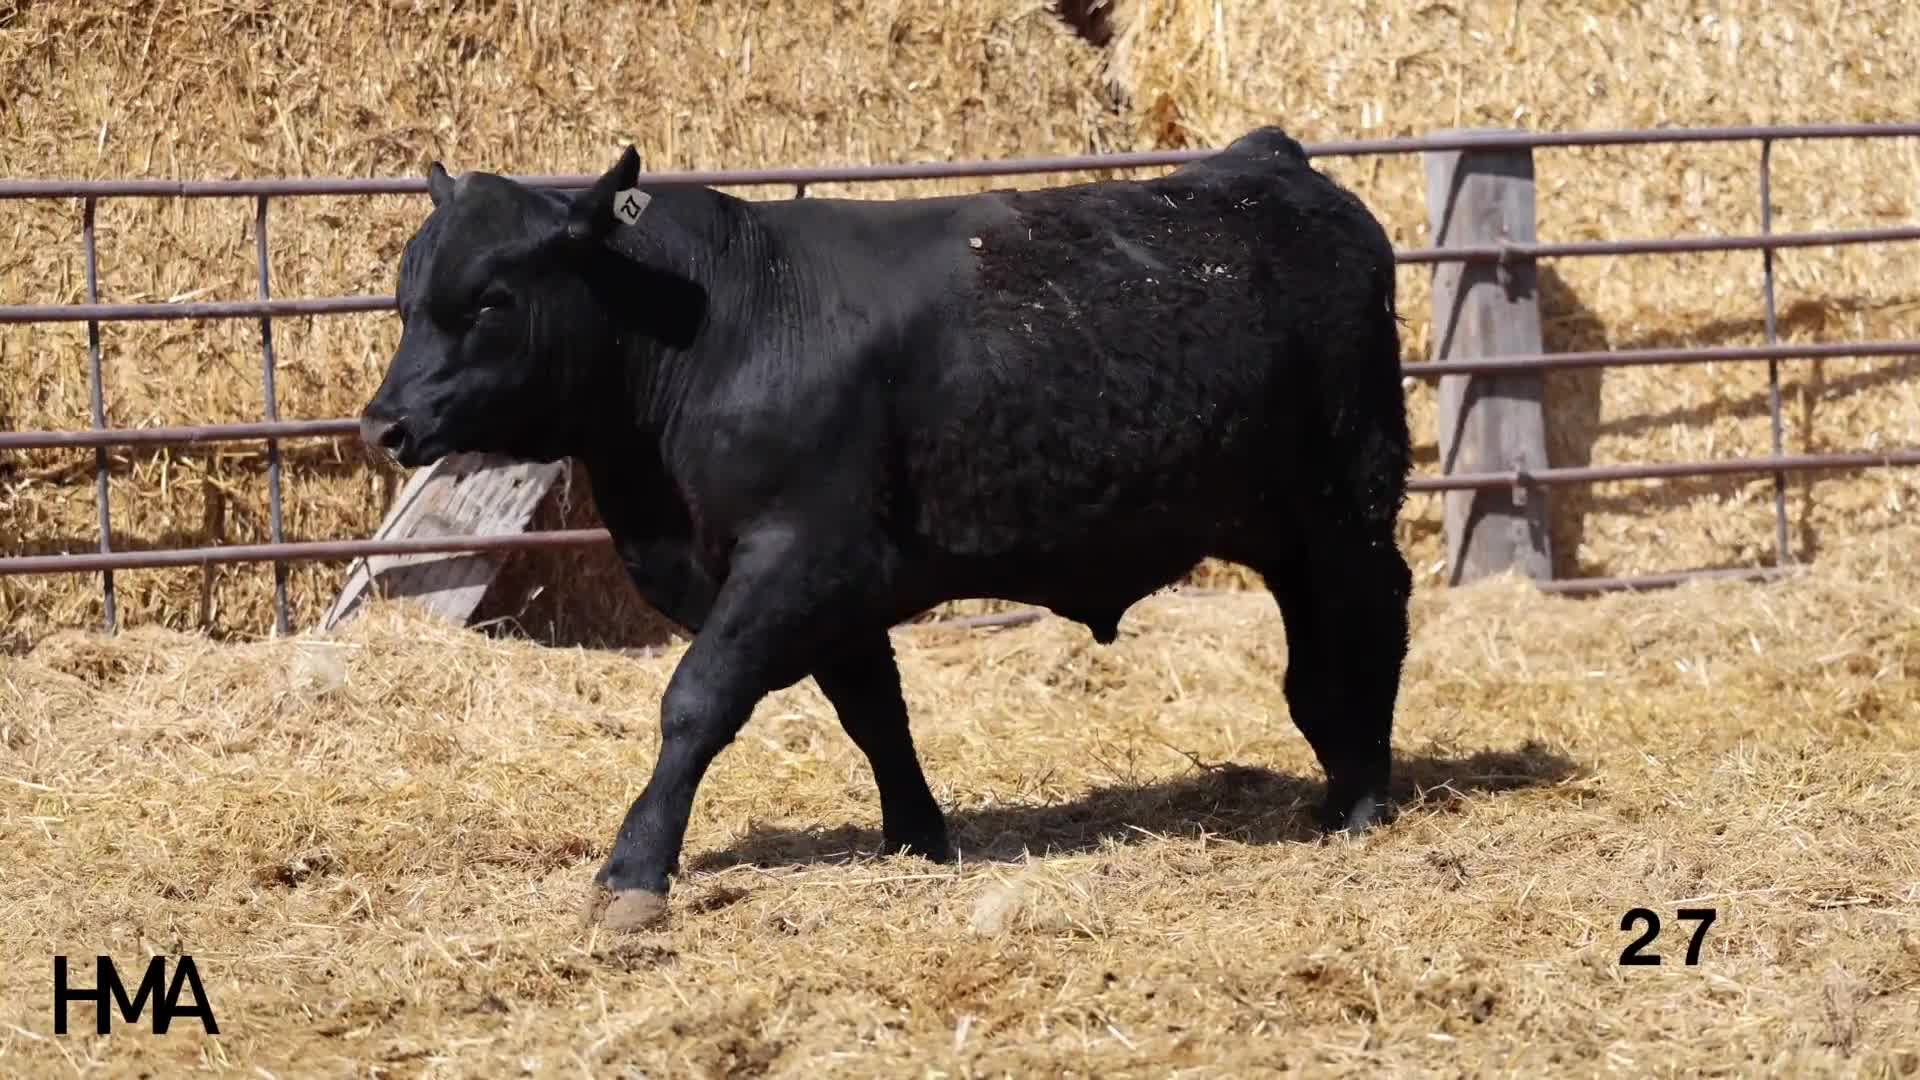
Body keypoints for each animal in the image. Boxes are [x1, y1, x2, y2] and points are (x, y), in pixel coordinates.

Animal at [358, 126, 1414, 932]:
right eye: (406, 301)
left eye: (491, 299)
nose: (384, 425)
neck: (715, 331)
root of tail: (1269, 160)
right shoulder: (837, 584)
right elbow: (874, 713)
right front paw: (917, 836)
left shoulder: (797, 555)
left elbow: (696, 701)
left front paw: (633, 871)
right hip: (1281, 525)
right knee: (1316, 644)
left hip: (1347, 503)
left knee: (1374, 616)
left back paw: (1359, 792)